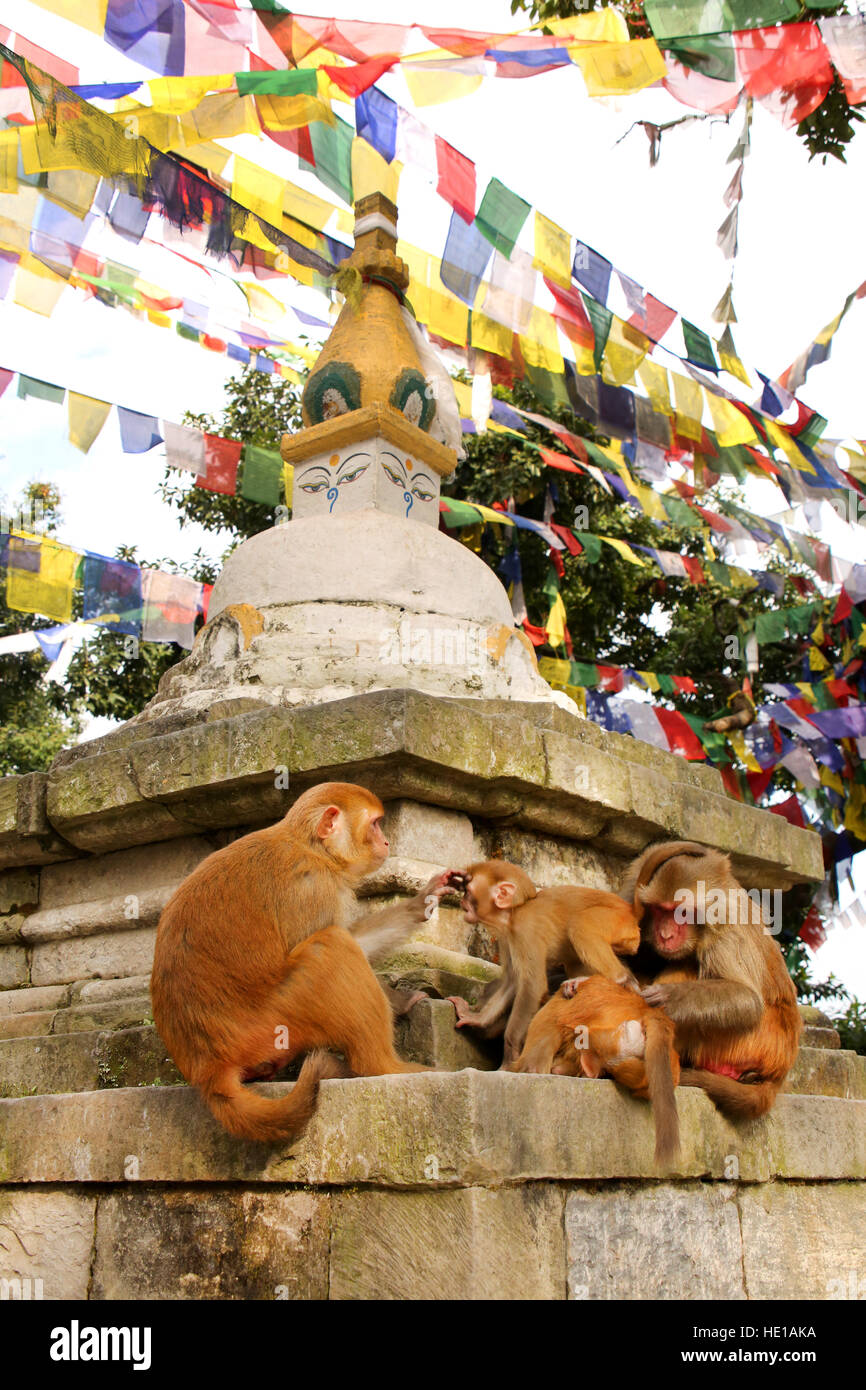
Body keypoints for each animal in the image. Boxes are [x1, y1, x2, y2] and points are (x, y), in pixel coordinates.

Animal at [151, 782, 452, 1143]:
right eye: (376, 824)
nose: (387, 843)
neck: (312, 848)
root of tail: (206, 1069)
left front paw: (421, 903)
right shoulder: (313, 887)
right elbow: (336, 939)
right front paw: (397, 1001)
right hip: (275, 1021)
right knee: (331, 947)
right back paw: (385, 1067)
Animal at [443, 860, 641, 1064]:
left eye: (467, 890)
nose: (462, 901)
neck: (513, 912)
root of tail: (631, 913)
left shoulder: (525, 929)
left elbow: (532, 985)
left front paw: (510, 1055)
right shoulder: (507, 937)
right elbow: (513, 980)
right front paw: (476, 1018)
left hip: (618, 921)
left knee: (580, 925)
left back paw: (615, 979)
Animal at [622, 840, 802, 1119]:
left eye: (681, 913)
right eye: (660, 910)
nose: (665, 935)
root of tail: (779, 1072)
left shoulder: (724, 927)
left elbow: (748, 1000)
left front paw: (667, 997)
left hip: (741, 1044)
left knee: (689, 964)